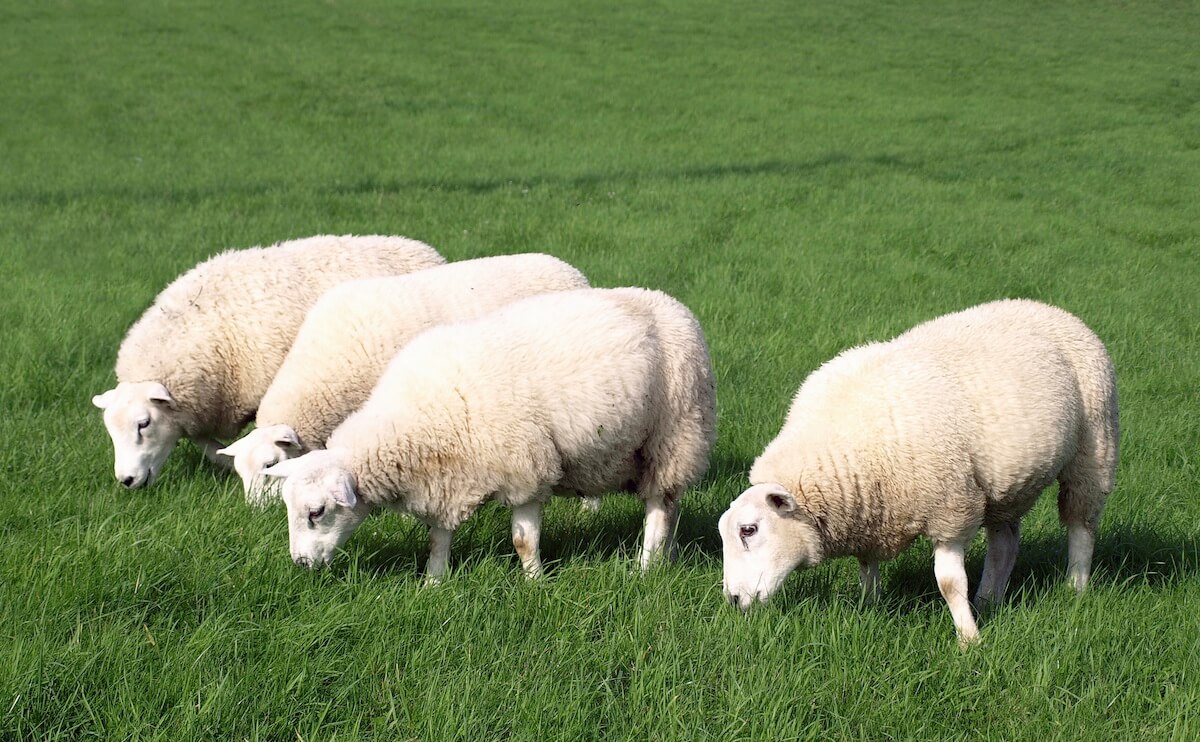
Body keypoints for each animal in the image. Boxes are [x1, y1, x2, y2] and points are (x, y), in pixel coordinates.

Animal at [92, 234, 444, 489]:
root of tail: (424, 250)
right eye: (110, 429)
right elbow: (207, 445)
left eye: (144, 423)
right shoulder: (200, 408)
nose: (126, 480)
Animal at [262, 287, 716, 578]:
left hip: (674, 435)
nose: (300, 565)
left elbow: (522, 540)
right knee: (672, 506)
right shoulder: (444, 478)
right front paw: (433, 582)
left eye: (316, 512)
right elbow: (437, 537)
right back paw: (667, 555)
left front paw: (535, 583)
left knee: (659, 507)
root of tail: (672, 303)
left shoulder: (527, 469)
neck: (414, 420)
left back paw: (646, 567)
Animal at [718, 299, 1118, 646]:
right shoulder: (869, 512)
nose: (733, 600)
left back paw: (1075, 588)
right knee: (1005, 543)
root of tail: (1048, 307)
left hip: (1095, 448)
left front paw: (969, 641)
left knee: (1081, 525)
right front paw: (870, 606)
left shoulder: (951, 509)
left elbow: (949, 583)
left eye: (749, 530)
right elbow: (866, 566)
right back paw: (989, 599)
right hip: (1007, 484)